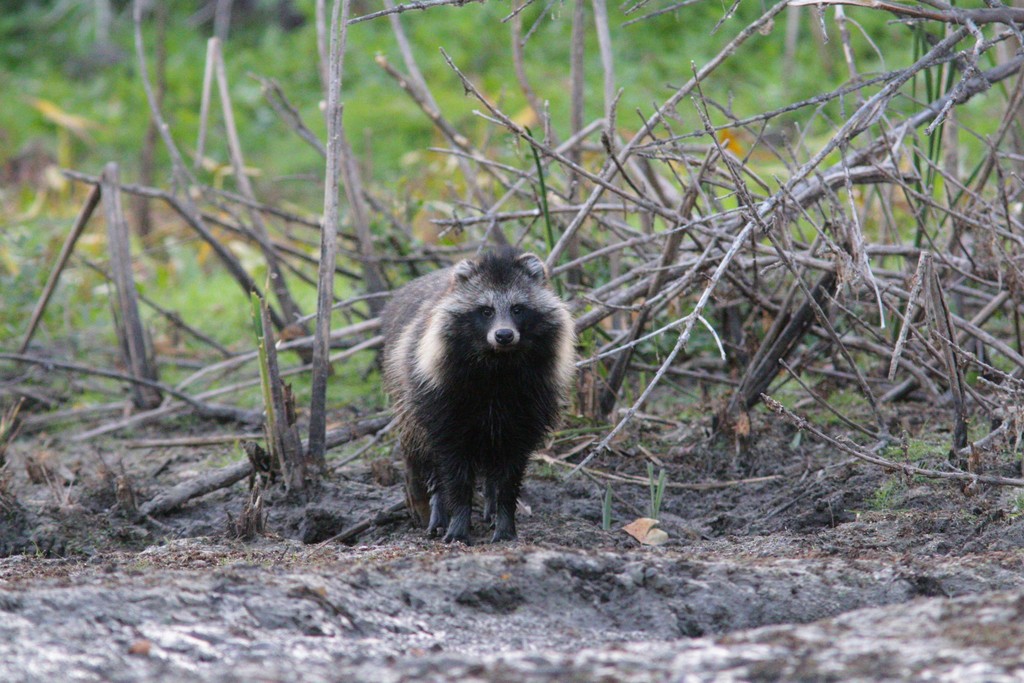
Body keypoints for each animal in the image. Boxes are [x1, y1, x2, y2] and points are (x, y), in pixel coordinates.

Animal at [380, 248, 576, 543]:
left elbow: (510, 471)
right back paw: (439, 510)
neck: (498, 362)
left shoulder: (528, 403)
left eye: (518, 309)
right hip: (410, 402)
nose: (504, 335)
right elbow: (454, 470)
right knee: (430, 459)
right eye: (486, 311)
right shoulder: (440, 398)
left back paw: (492, 505)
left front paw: (505, 521)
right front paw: (459, 523)